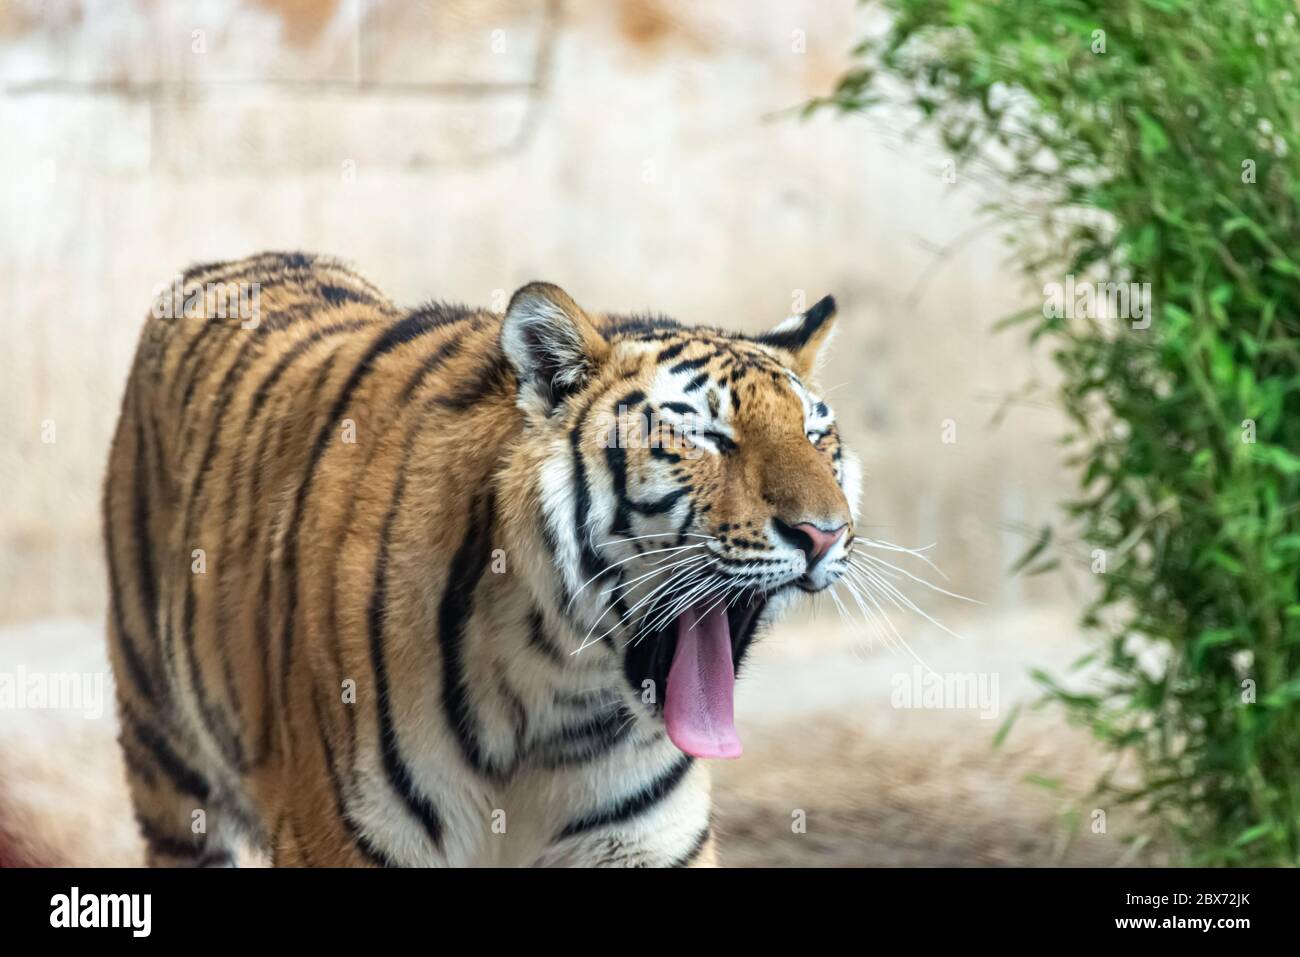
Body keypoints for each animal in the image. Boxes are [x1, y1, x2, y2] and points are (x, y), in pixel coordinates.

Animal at [102, 251, 860, 867]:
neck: (560, 695)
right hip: (167, 762)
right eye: (704, 436)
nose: (824, 533)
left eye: (816, 436)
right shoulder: (342, 836)